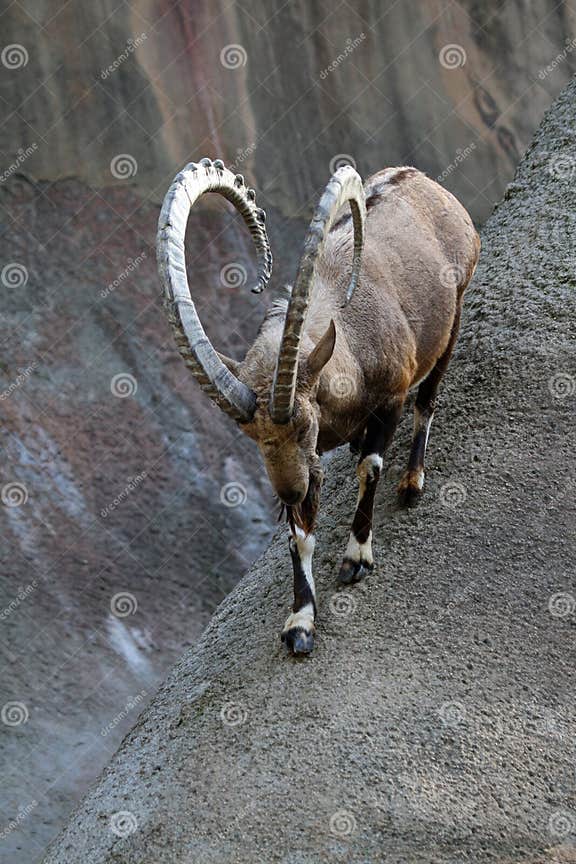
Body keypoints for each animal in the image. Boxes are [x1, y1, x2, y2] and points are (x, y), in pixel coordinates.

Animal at [157, 157, 480, 655]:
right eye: (251, 437)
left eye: (303, 423)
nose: (287, 493)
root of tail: (426, 182)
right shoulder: (306, 464)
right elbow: (300, 534)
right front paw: (300, 623)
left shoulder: (388, 399)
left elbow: (371, 466)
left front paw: (357, 558)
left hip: (454, 311)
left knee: (427, 401)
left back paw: (411, 482)